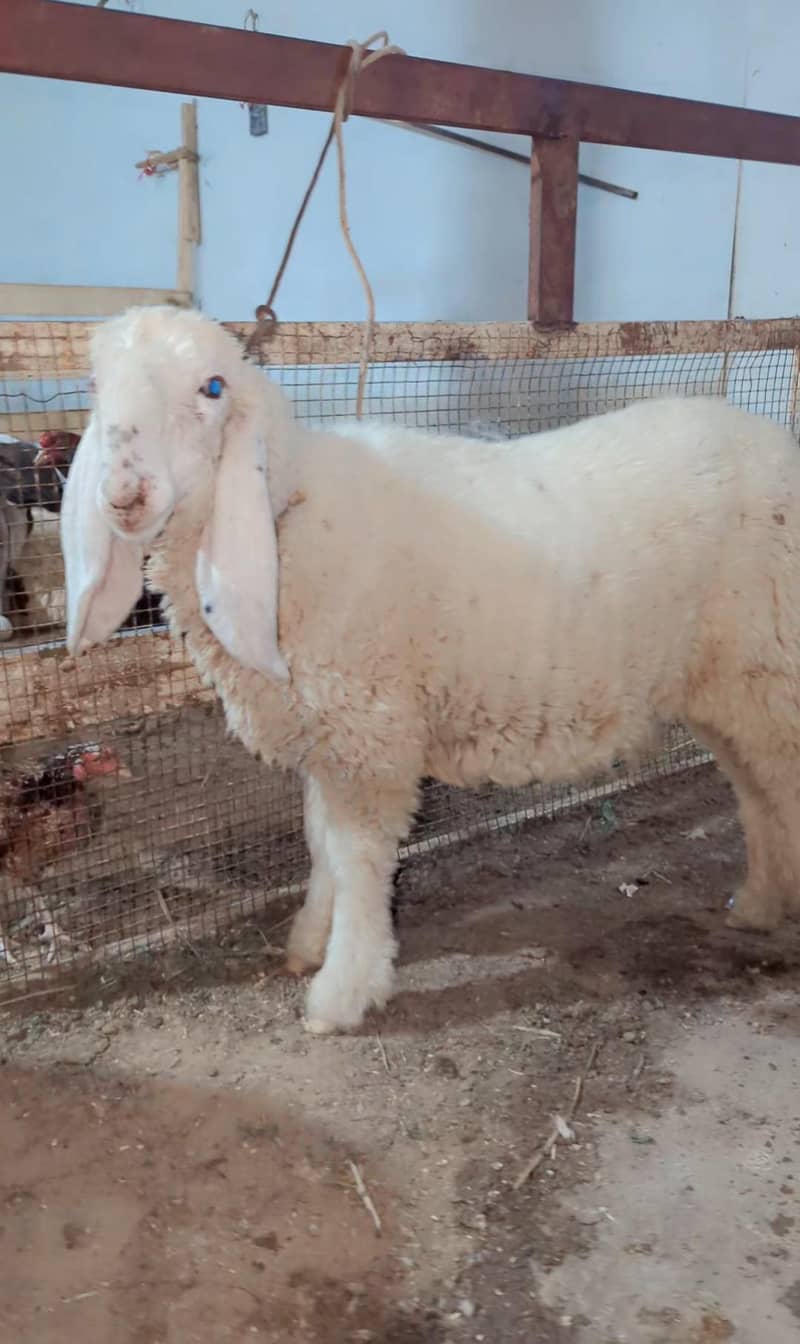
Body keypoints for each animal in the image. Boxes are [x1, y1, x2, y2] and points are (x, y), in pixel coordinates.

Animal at [59, 305, 800, 1034]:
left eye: (212, 388)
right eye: (94, 386)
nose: (123, 494)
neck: (288, 518)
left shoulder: (369, 737)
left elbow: (358, 863)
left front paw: (343, 992)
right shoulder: (327, 734)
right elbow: (320, 845)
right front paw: (310, 942)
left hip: (773, 681)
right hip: (732, 689)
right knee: (758, 797)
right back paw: (761, 902)